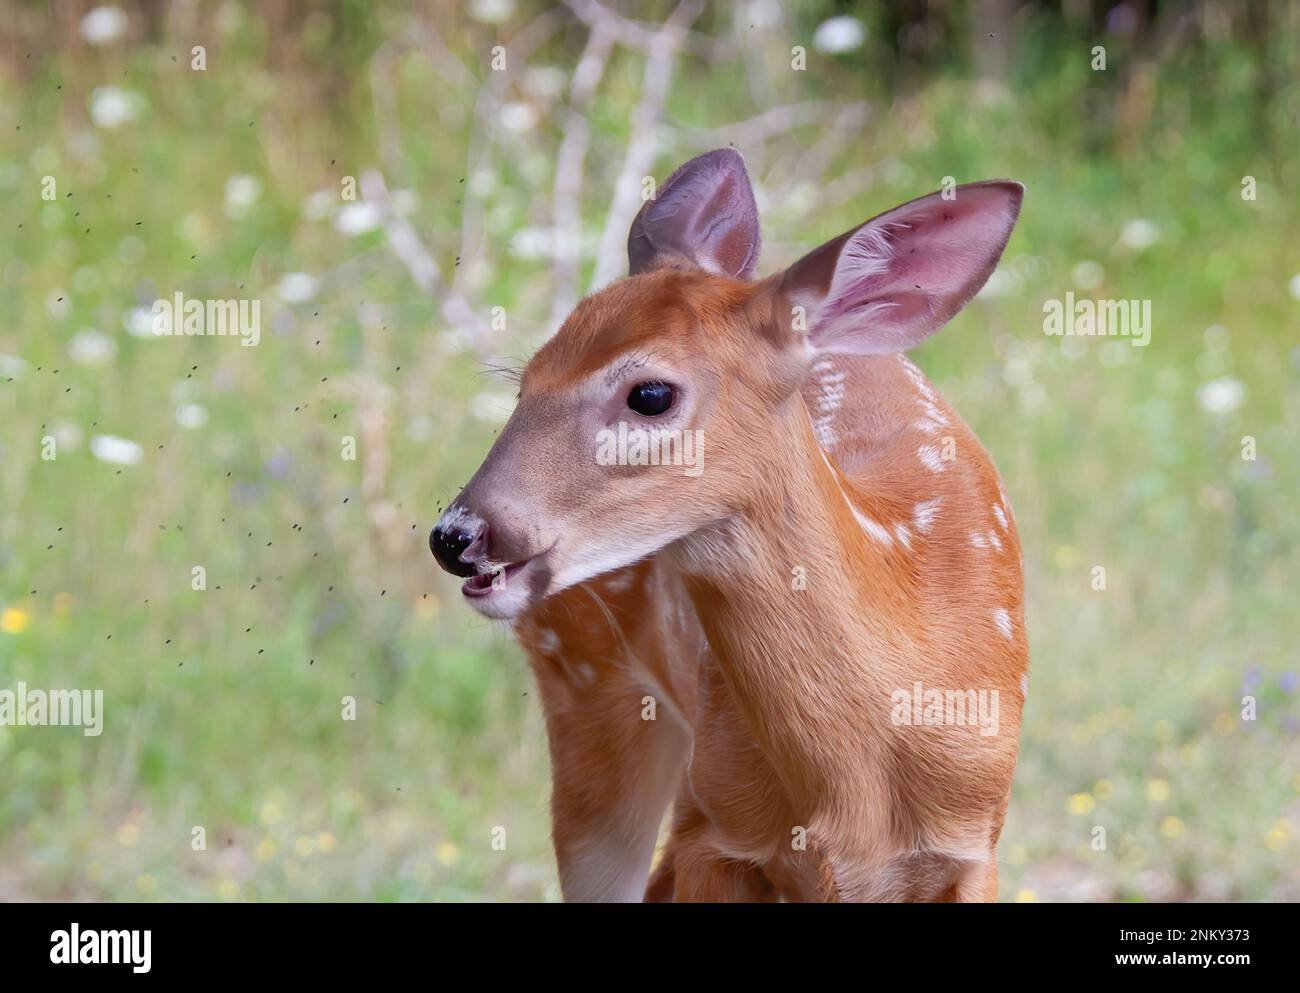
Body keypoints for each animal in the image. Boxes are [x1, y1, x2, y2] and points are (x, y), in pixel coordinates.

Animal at [430, 149, 1028, 901]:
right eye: (526, 378)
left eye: (651, 393)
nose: (456, 535)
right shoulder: (718, 833)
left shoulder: (973, 847)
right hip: (588, 684)